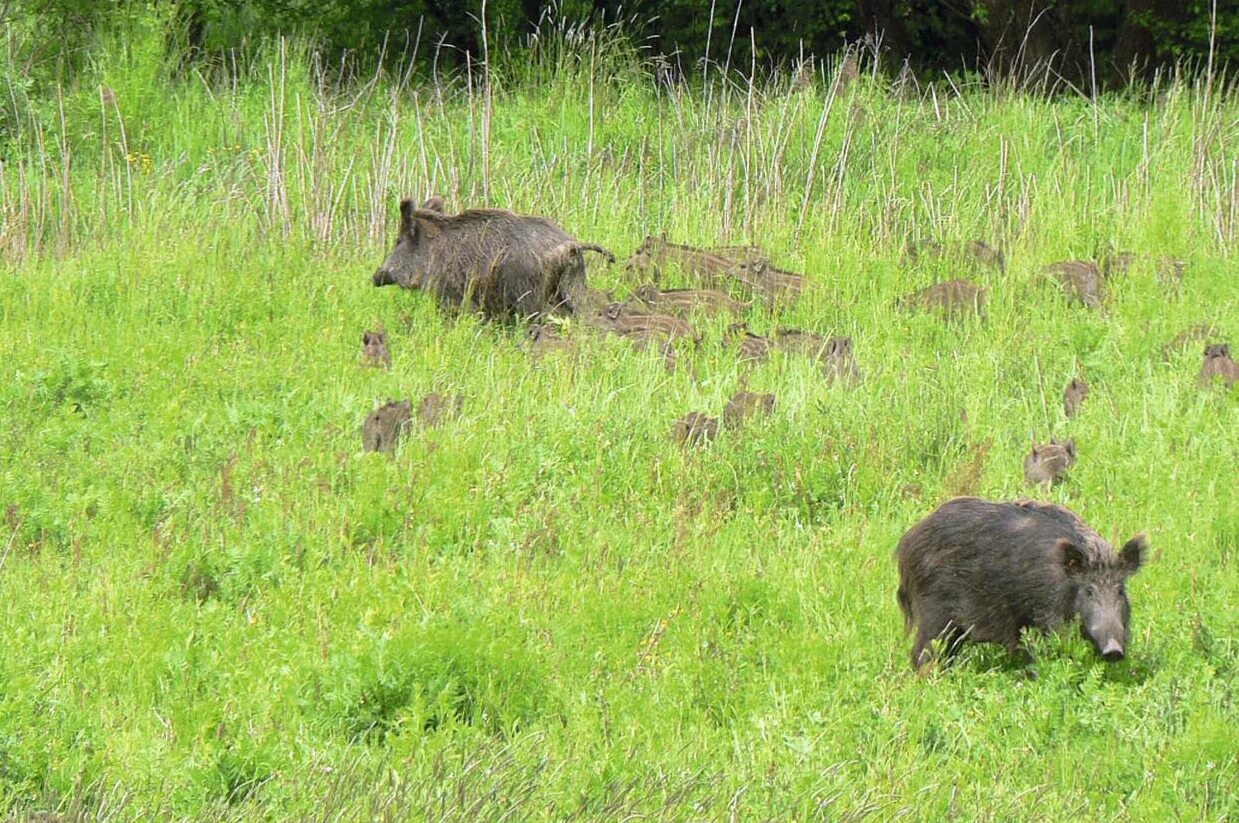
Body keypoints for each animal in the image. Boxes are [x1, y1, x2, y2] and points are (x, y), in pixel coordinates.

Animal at [372, 196, 614, 320]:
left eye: (398, 241)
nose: (375, 277)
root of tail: (571, 244)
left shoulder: (450, 298)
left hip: (531, 296)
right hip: (574, 286)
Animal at [896, 497, 1149, 670]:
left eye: (1120, 590)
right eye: (1089, 591)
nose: (1114, 650)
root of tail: (906, 545)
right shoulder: (1046, 615)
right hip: (933, 613)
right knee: (921, 652)